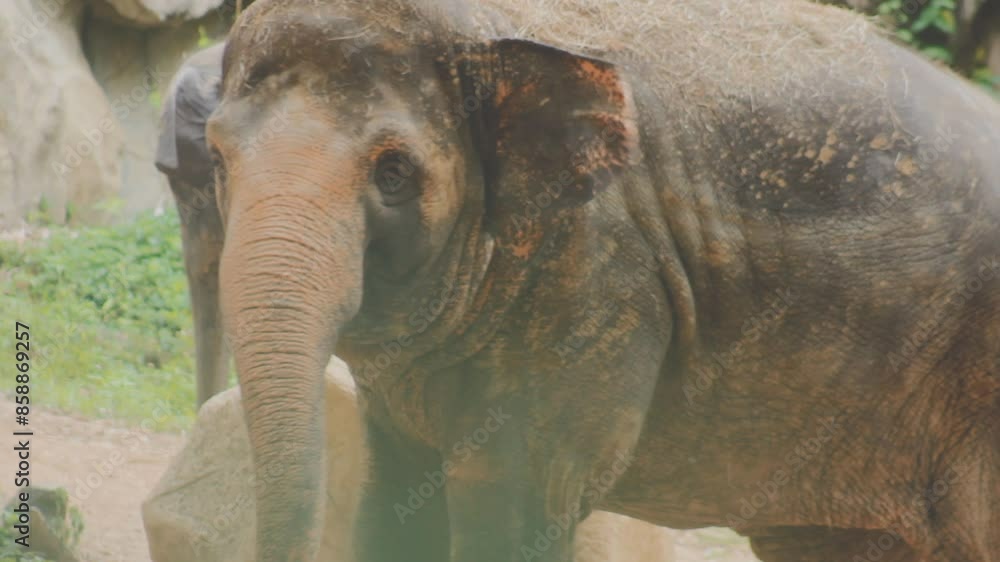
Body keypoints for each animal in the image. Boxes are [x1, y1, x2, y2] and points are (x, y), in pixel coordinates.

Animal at [160, 0, 1000, 560]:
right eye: (219, 159)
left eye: (393, 173)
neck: (484, 32)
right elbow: (398, 498)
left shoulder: (597, 279)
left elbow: (514, 508)